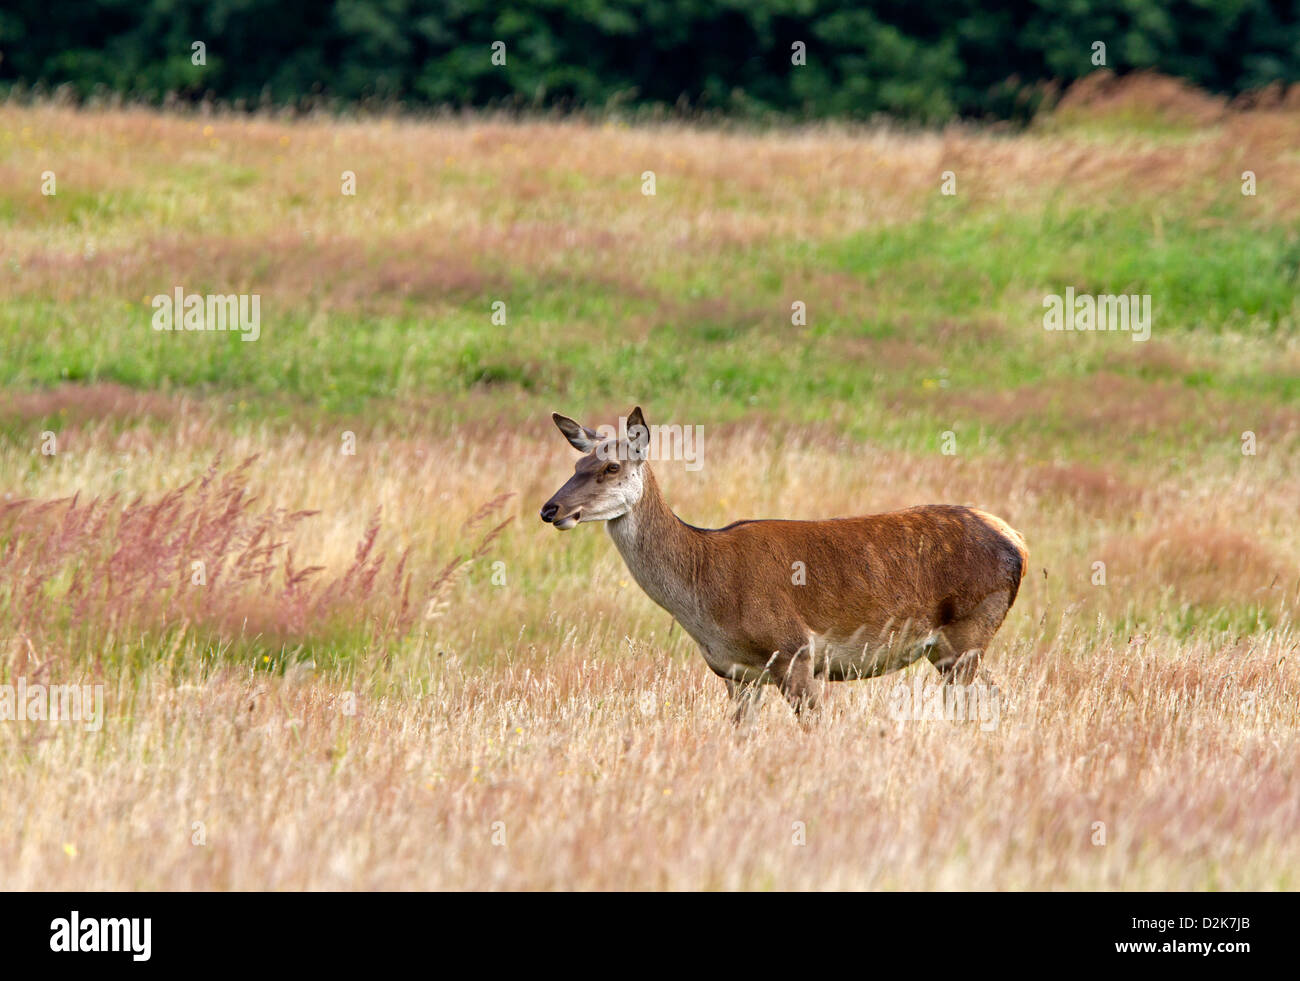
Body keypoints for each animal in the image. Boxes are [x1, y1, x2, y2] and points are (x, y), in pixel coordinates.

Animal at [540, 406, 1028, 724]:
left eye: (611, 467)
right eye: (578, 461)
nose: (550, 508)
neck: (705, 599)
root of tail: (1019, 543)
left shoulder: (794, 649)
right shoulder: (735, 673)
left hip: (967, 632)